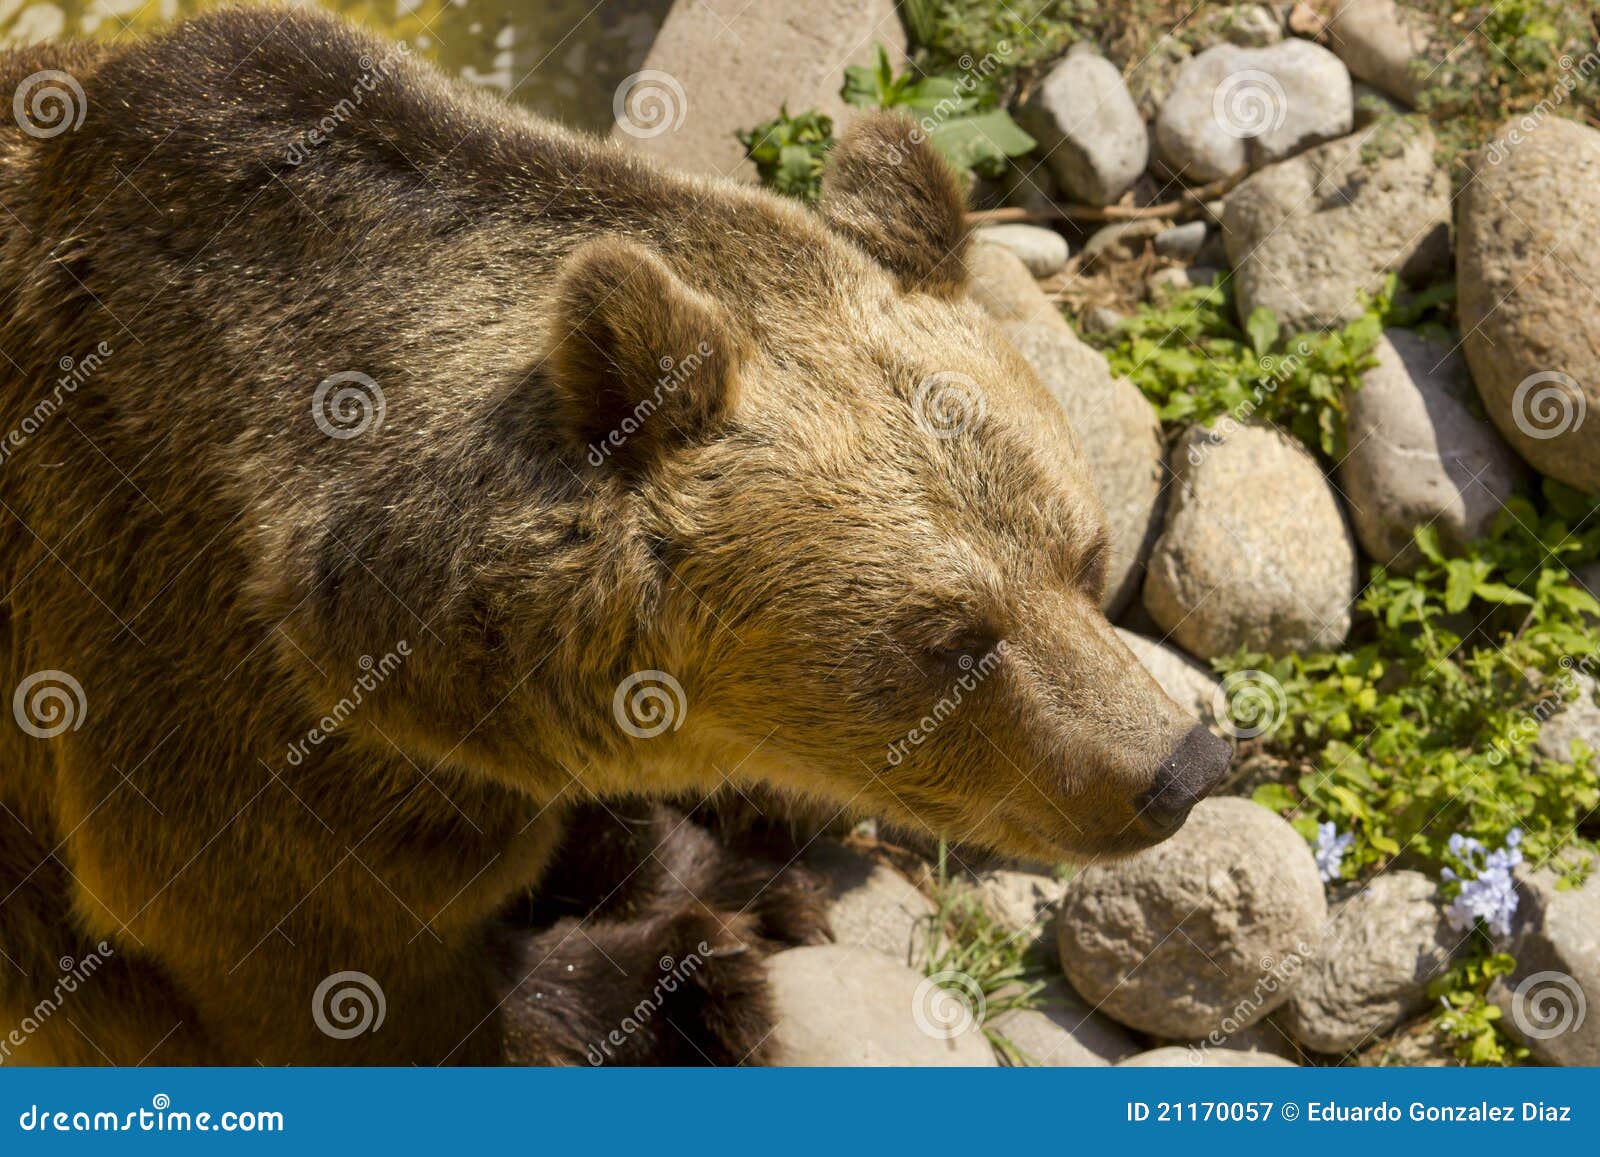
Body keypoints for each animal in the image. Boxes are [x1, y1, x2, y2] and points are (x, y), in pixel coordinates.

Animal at [0, 6, 1230, 1065]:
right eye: (956, 641)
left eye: (1085, 557)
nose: (1178, 766)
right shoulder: (198, 705)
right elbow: (345, 984)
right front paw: (677, 973)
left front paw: (713, 875)